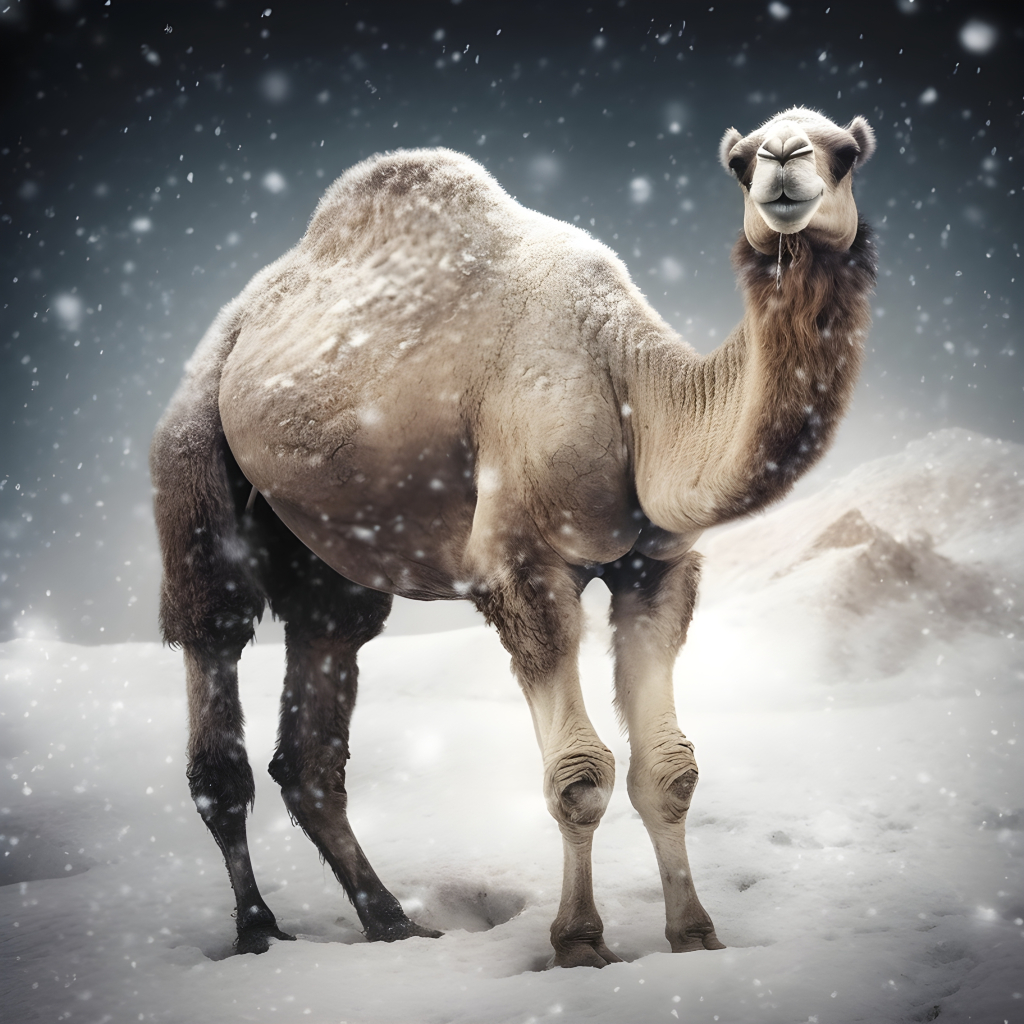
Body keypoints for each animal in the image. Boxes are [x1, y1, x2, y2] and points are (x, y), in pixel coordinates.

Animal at [150, 106, 876, 966]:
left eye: (846, 153)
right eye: (741, 162)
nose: (785, 160)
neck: (632, 387)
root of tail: (244, 315)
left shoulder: (657, 570)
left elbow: (668, 768)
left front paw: (694, 935)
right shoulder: (521, 568)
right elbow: (580, 773)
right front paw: (580, 942)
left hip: (328, 550)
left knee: (318, 710)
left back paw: (392, 921)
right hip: (194, 448)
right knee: (215, 646)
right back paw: (259, 928)